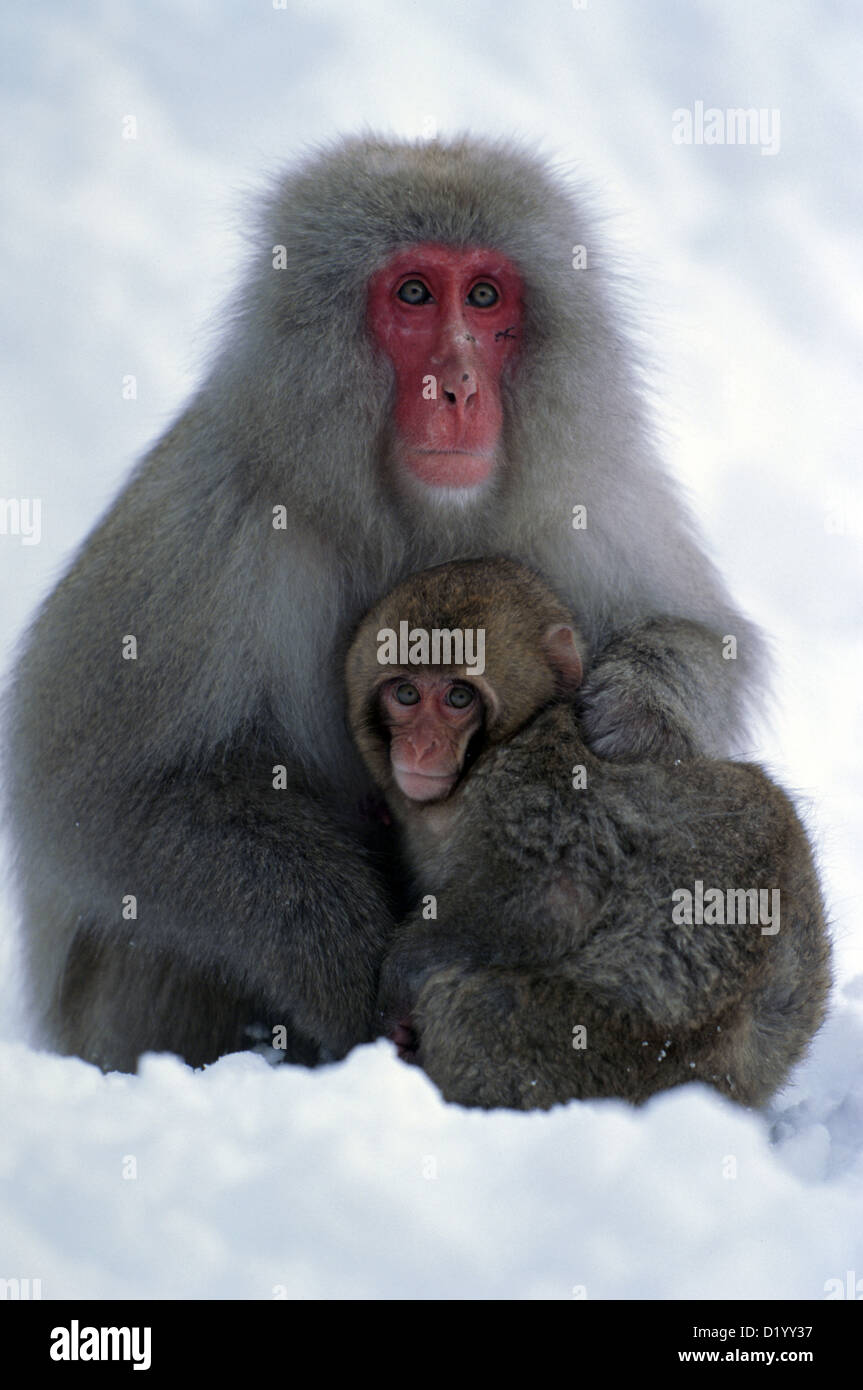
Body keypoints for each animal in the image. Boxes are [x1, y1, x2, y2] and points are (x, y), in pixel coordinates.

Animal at [5, 135, 770, 1073]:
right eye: (413, 295)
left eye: (483, 296)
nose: (459, 386)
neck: (409, 514)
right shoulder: (213, 518)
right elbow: (105, 796)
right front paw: (349, 963)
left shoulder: (584, 495)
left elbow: (701, 638)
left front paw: (639, 707)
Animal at [346, 558, 831, 1110]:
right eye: (406, 693)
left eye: (458, 696)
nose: (421, 747)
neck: (503, 744)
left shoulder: (531, 787)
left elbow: (553, 894)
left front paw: (397, 984)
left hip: (598, 1053)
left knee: (466, 1011)